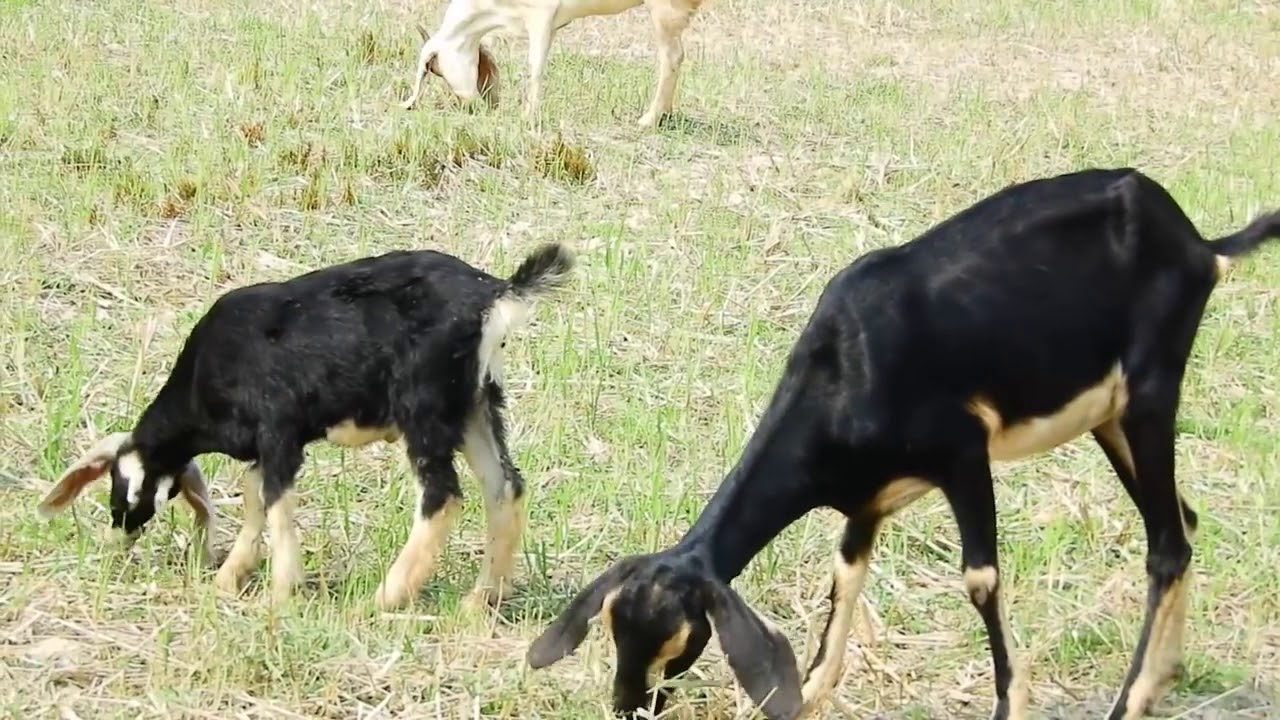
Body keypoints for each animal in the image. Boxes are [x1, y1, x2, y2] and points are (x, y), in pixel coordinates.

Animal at [37, 243, 575, 609]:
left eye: (126, 486)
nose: (120, 536)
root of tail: (496, 291)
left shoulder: (280, 431)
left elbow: (275, 502)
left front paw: (279, 591)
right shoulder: (261, 448)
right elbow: (255, 499)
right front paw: (229, 579)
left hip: (425, 407)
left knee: (442, 494)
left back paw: (385, 597)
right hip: (476, 404)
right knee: (505, 486)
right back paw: (482, 599)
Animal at [400, 0, 705, 128]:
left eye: (436, 68)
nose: (468, 104)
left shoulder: (540, 15)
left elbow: (535, 66)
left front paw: (527, 118)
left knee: (672, 56)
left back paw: (649, 119)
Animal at [525, 168, 1280, 720]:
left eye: (680, 636)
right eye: (614, 624)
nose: (629, 705)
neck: (845, 365)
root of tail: (1197, 242)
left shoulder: (963, 453)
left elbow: (980, 580)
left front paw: (1011, 702)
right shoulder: (866, 502)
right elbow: (840, 594)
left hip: (1151, 393)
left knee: (1166, 545)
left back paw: (1129, 701)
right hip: (1110, 418)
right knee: (1182, 522)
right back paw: (1160, 680)